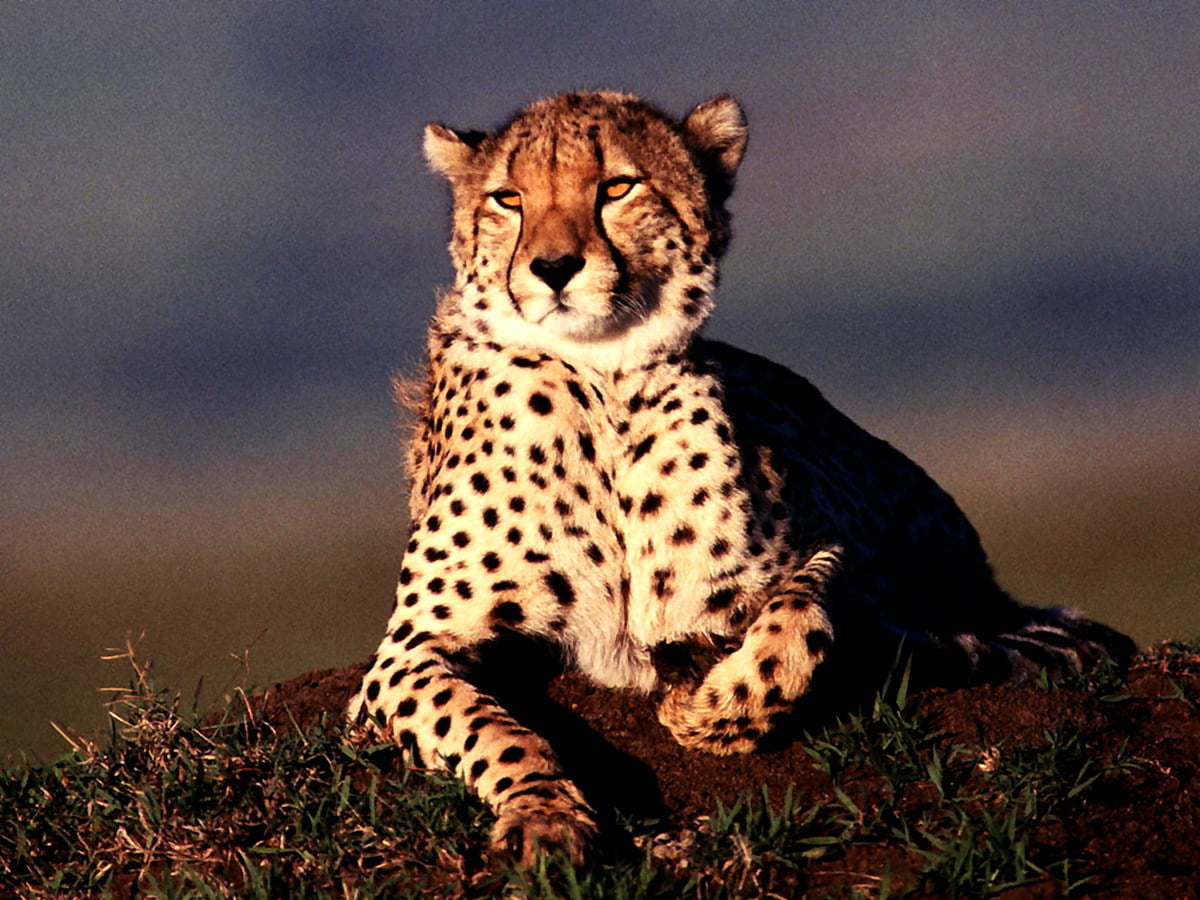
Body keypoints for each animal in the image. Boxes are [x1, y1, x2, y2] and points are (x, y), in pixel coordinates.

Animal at [347, 90, 1134, 865]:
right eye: (508, 198)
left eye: (617, 188)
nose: (553, 267)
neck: (605, 385)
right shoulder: (406, 653)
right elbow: (494, 731)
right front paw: (544, 815)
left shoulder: (814, 549)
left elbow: (799, 622)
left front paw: (709, 704)